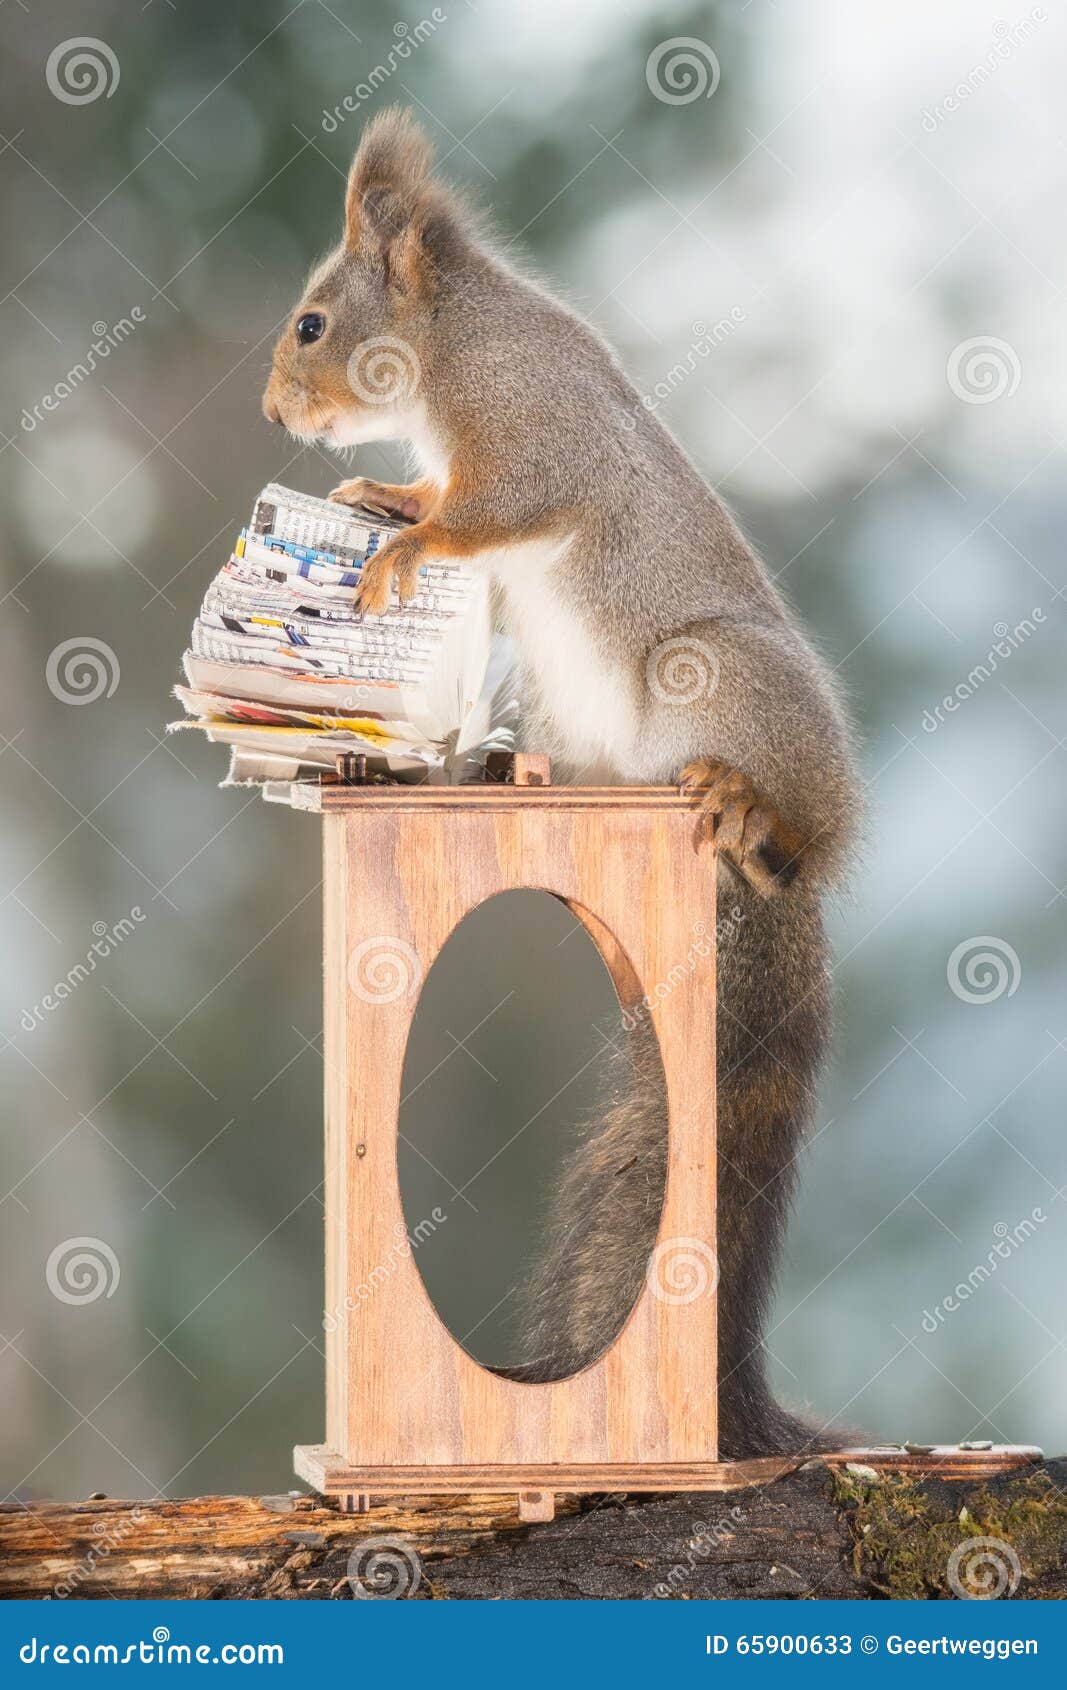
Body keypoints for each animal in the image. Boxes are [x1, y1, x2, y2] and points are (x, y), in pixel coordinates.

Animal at [263, 108, 861, 1458]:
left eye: (313, 325)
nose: (274, 412)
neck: (452, 344)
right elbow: (440, 494)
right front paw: (386, 495)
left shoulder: (534, 424)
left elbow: (499, 507)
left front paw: (411, 544)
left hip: (717, 681)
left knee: (783, 825)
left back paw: (743, 804)